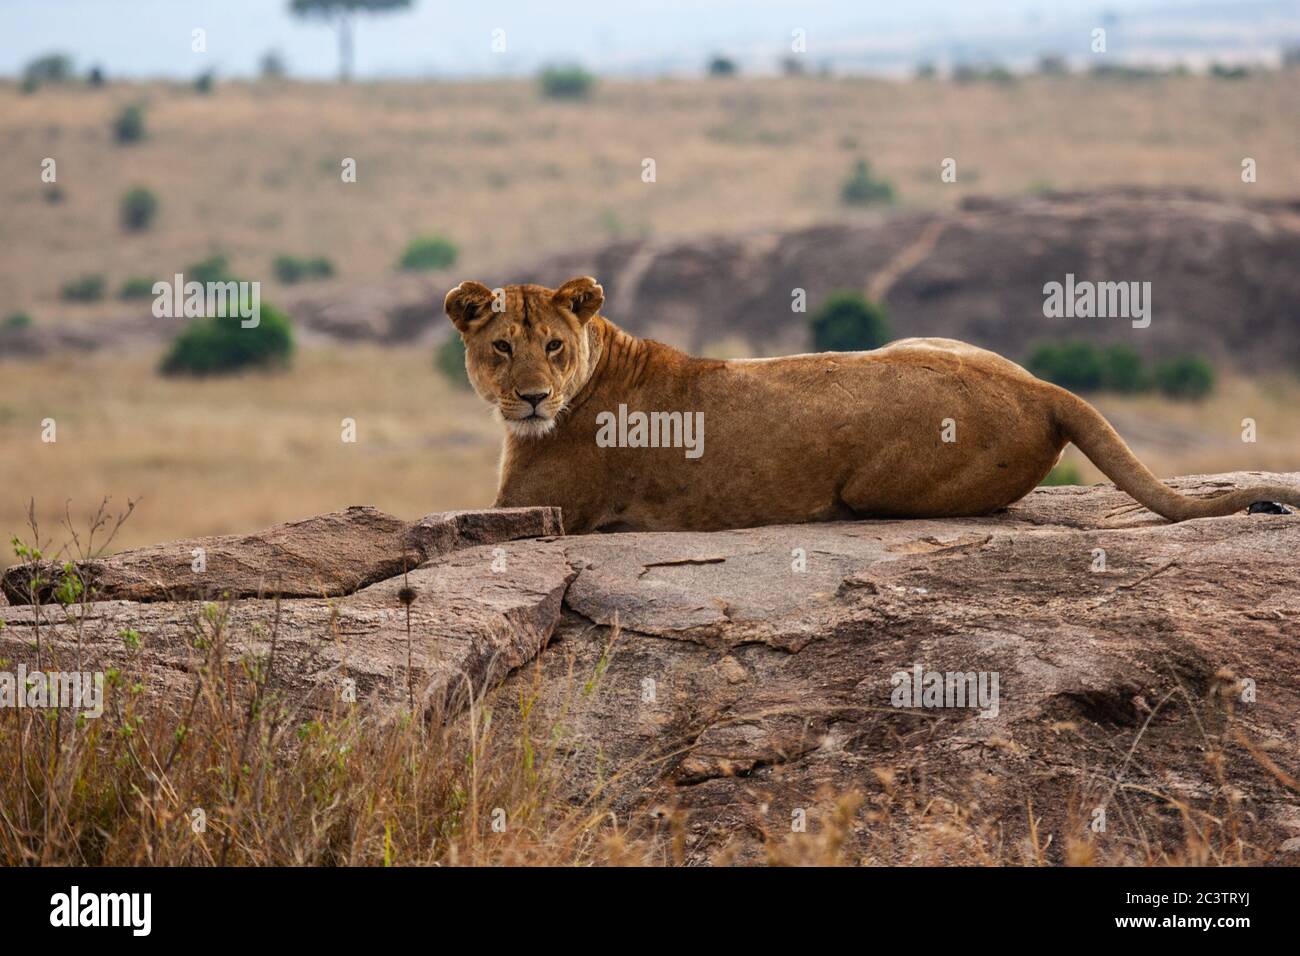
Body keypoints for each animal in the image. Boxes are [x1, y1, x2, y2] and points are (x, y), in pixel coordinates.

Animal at [444, 276, 1300, 534]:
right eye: (502, 347)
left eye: (553, 347)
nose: (532, 396)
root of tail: (1042, 388)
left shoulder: (537, 509)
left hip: (878, 485)